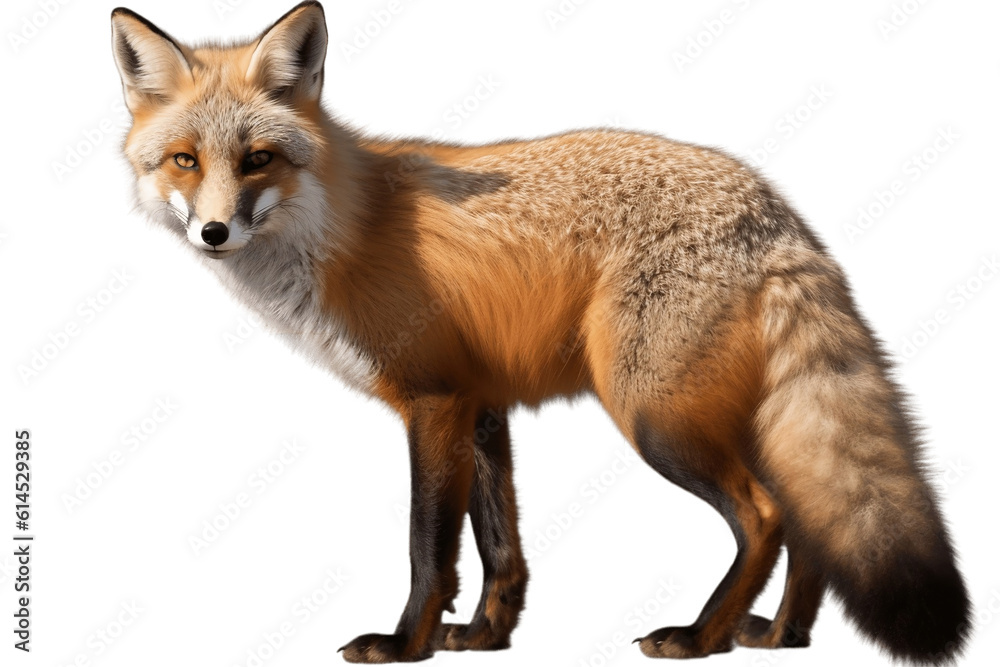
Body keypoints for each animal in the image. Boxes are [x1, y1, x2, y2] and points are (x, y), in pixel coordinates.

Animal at [111, 2, 970, 664]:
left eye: (258, 158)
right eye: (185, 160)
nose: (214, 232)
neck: (343, 225)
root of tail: (775, 209)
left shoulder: (434, 398)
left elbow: (429, 544)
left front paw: (405, 643)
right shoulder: (481, 403)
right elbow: (501, 544)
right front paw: (485, 634)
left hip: (659, 418)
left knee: (766, 517)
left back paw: (701, 636)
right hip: (727, 413)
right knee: (808, 519)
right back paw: (783, 633)